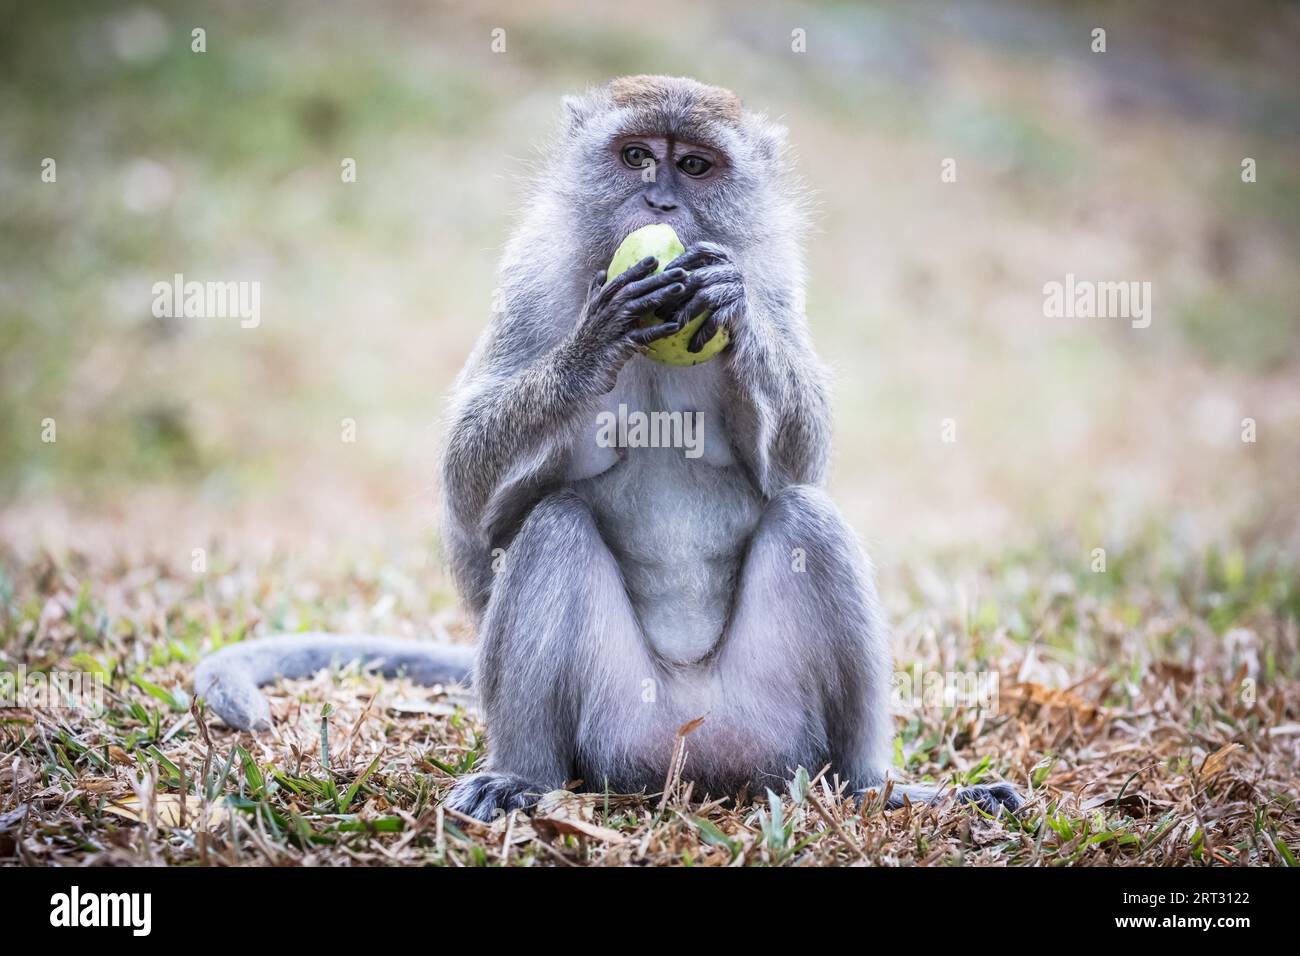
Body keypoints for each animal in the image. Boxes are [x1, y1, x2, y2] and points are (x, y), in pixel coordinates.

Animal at [195, 76, 1023, 823]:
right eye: (635, 157)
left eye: (695, 166)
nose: (659, 205)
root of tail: (694, 753)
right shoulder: (530, 275)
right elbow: (466, 487)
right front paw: (591, 347)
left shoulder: (777, 276)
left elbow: (800, 463)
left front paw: (734, 311)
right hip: (617, 730)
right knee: (556, 526)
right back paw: (521, 776)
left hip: (773, 728)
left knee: (807, 520)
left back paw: (869, 785)